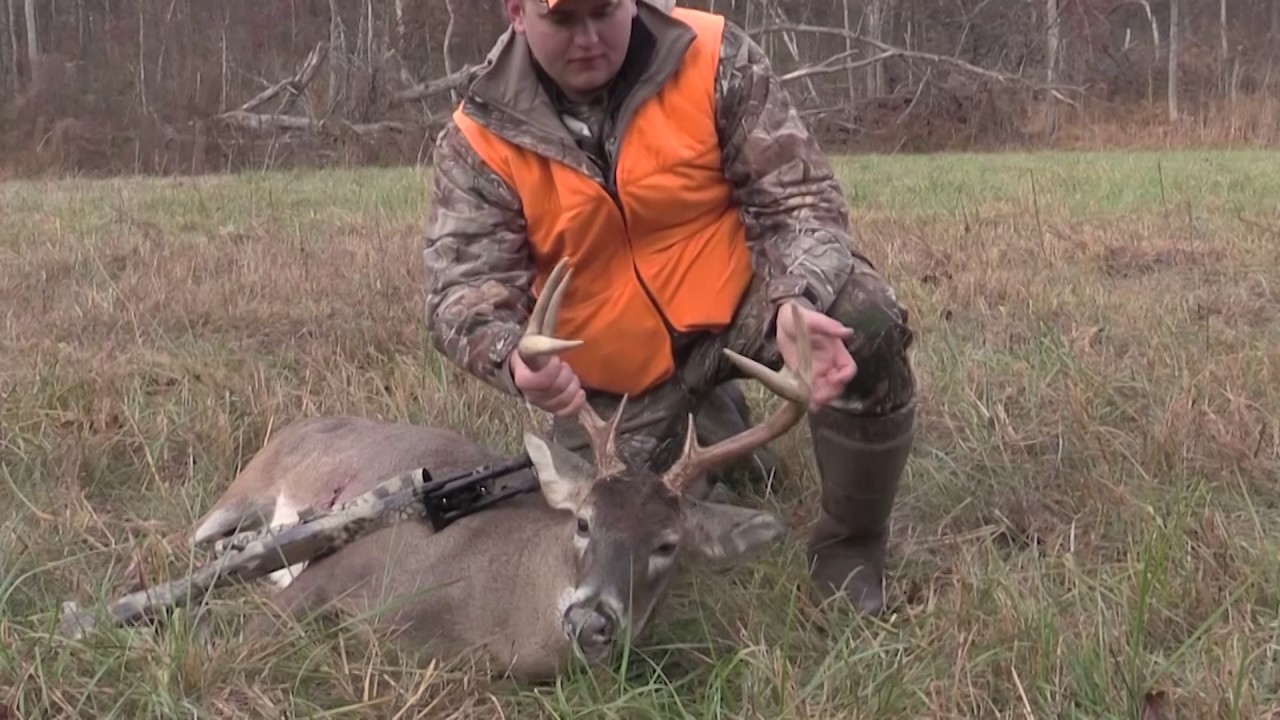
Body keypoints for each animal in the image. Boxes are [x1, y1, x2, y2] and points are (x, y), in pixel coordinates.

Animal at [187, 257, 816, 682]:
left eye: (667, 544)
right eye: (583, 522)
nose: (591, 623)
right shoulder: (343, 565)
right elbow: (250, 638)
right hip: (244, 487)